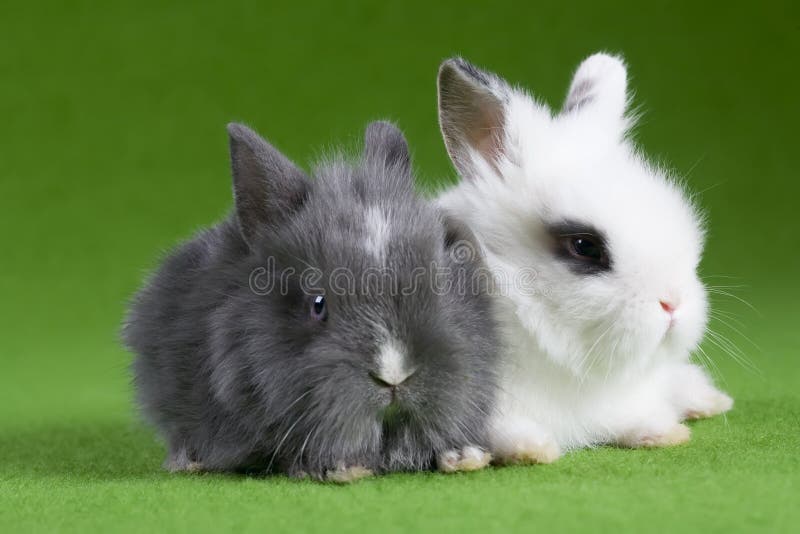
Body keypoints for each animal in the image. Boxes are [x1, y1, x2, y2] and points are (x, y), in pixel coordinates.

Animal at [123, 122, 500, 486]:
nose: (393, 376)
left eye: (440, 285)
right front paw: (340, 469)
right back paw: (187, 462)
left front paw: (464, 457)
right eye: (318, 304)